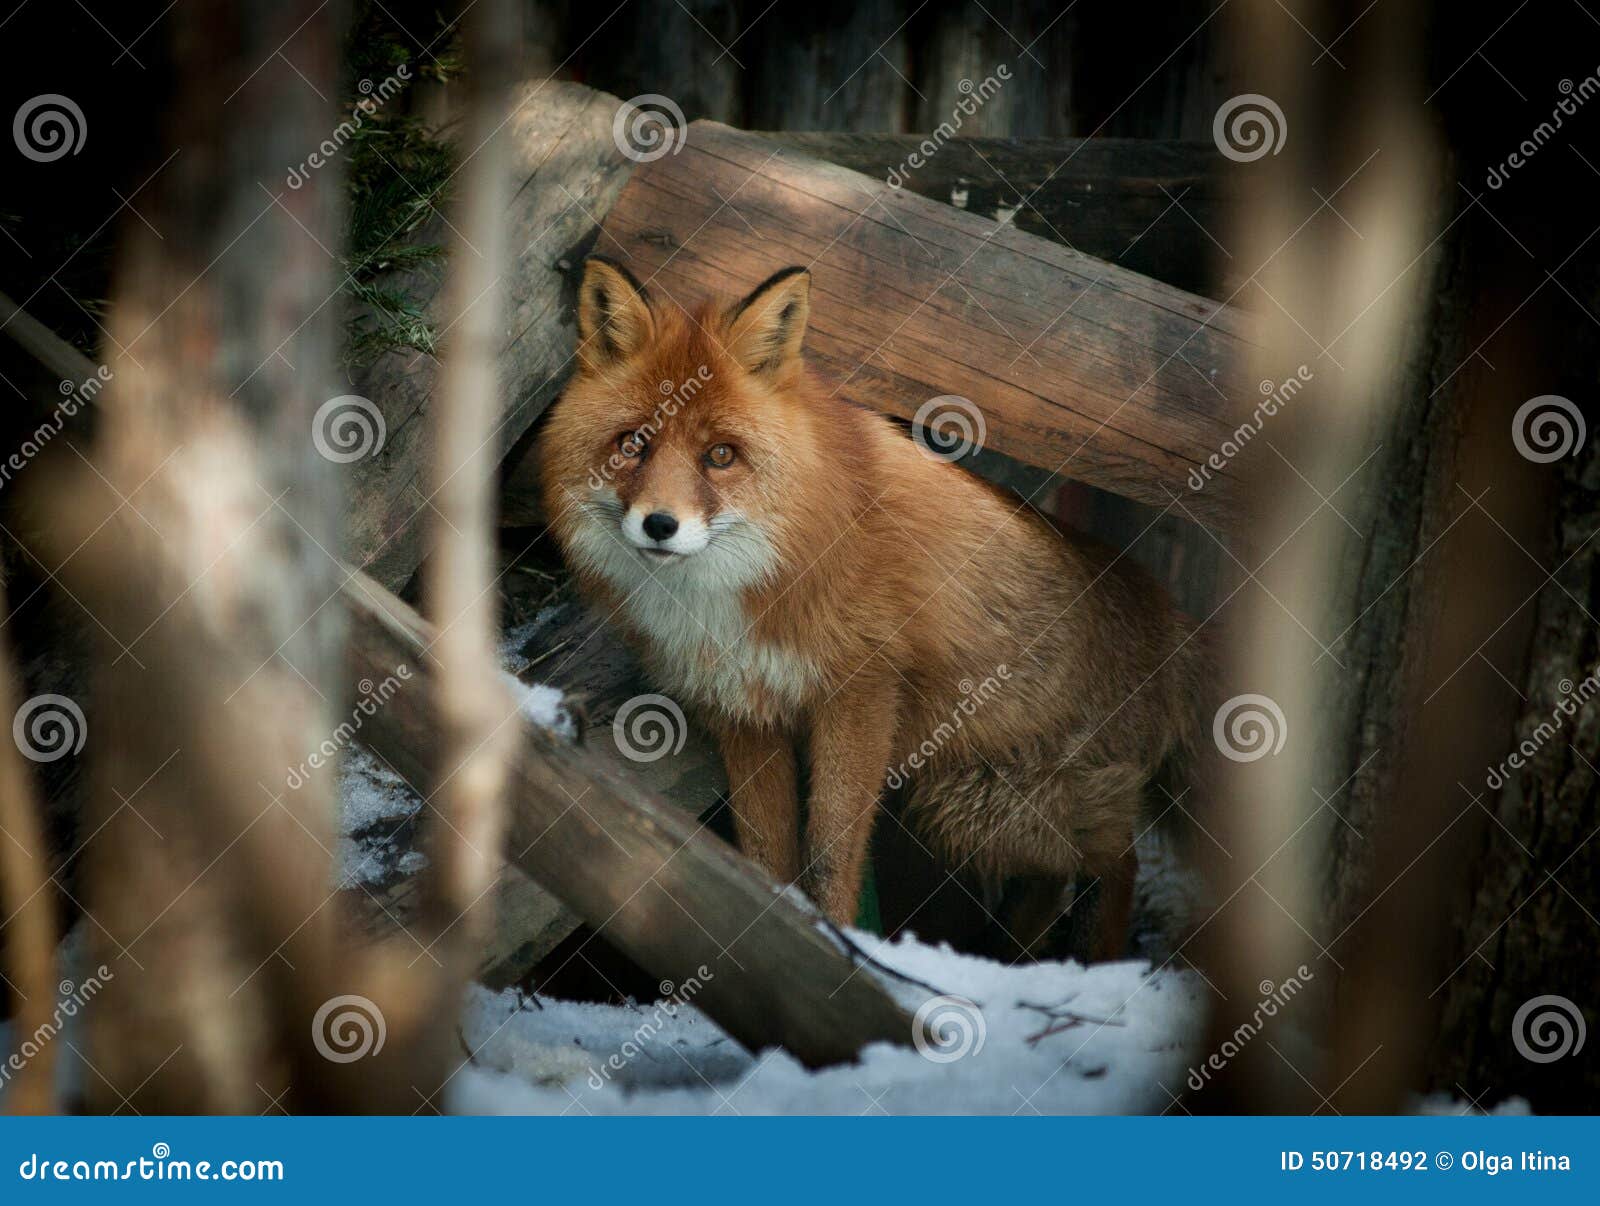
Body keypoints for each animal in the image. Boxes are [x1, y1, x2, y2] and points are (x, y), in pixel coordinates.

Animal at [539, 255, 1209, 954]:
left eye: (719, 455)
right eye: (634, 443)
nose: (660, 525)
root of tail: (1171, 616)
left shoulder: (861, 693)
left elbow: (830, 855)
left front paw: (834, 942)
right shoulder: (744, 710)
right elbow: (765, 857)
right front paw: (770, 932)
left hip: (978, 805)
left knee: (1119, 858)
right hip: (973, 804)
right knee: (1061, 878)